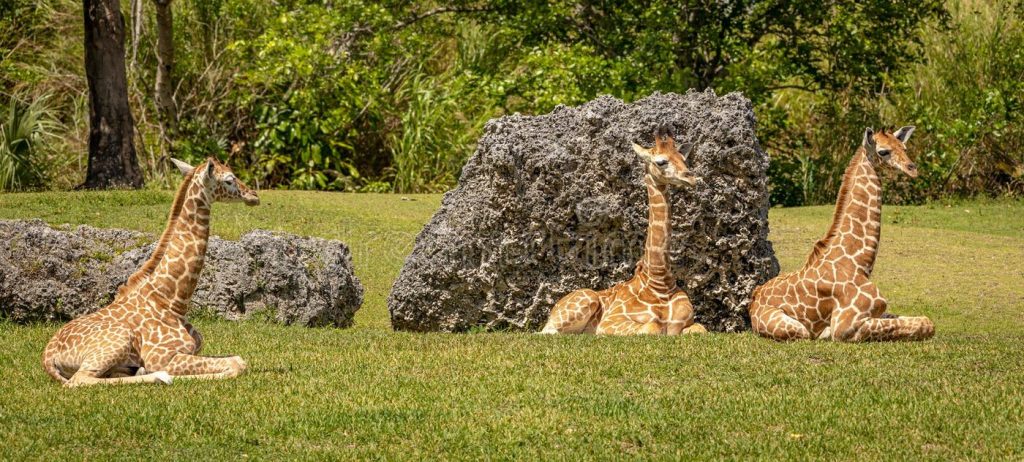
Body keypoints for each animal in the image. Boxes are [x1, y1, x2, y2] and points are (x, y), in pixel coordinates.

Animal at [42, 157, 260, 387]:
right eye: (229, 180)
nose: (254, 195)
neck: (172, 301)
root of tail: (47, 357)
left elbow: (238, 359)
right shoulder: (163, 357)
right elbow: (235, 365)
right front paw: (166, 375)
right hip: (117, 341)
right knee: (79, 380)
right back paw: (159, 377)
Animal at [540, 129, 708, 335]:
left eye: (683, 159)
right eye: (661, 161)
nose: (690, 178)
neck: (659, 282)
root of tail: (553, 310)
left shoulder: (686, 323)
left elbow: (701, 328)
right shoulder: (610, 322)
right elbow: (652, 326)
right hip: (582, 302)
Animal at [749, 126, 935, 342]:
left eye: (904, 148)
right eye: (883, 151)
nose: (912, 168)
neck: (858, 263)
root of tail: (753, 299)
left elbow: (925, 321)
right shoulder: (845, 325)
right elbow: (925, 324)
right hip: (795, 328)